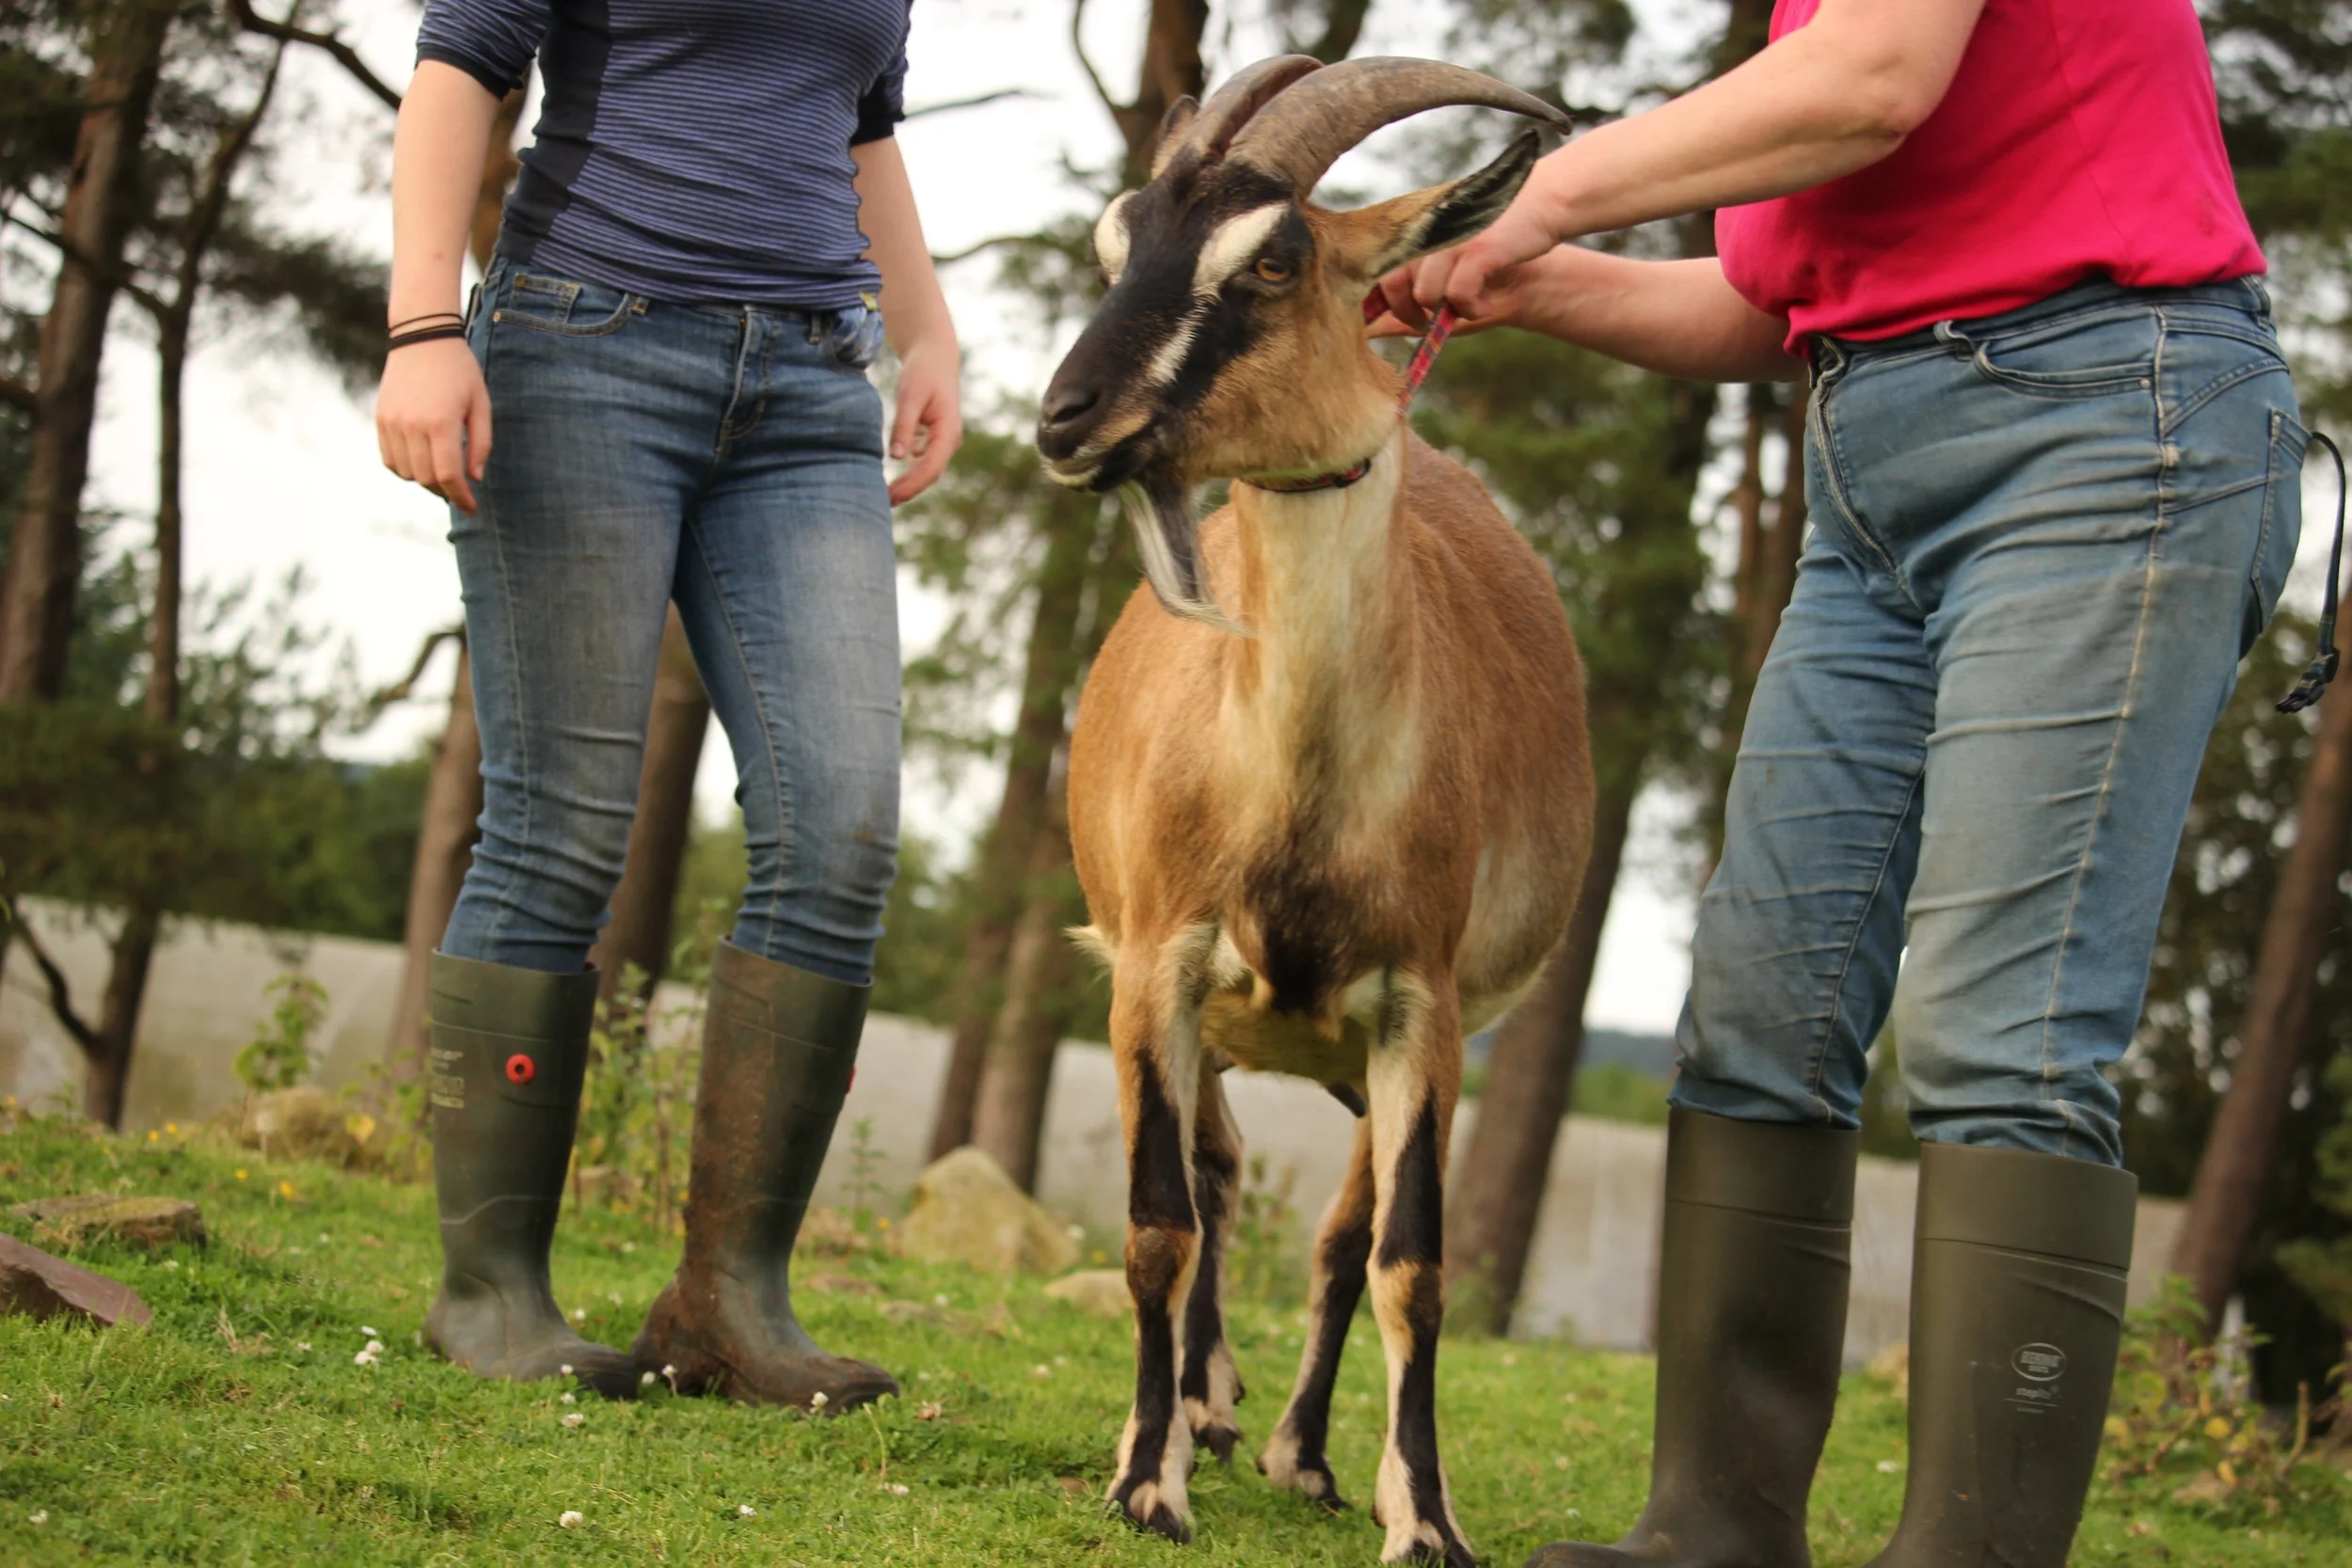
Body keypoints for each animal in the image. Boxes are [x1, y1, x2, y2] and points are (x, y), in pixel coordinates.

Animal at [1035, 55, 1596, 1568]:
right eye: (1115, 243)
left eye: (1274, 259)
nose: (1066, 415)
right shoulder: (1156, 967)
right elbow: (1156, 1224)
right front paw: (1146, 1474)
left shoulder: (1423, 1010)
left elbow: (1408, 1258)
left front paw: (1426, 1515)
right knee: (1218, 1174)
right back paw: (1202, 1405)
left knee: (1336, 1230)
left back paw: (1294, 1446)